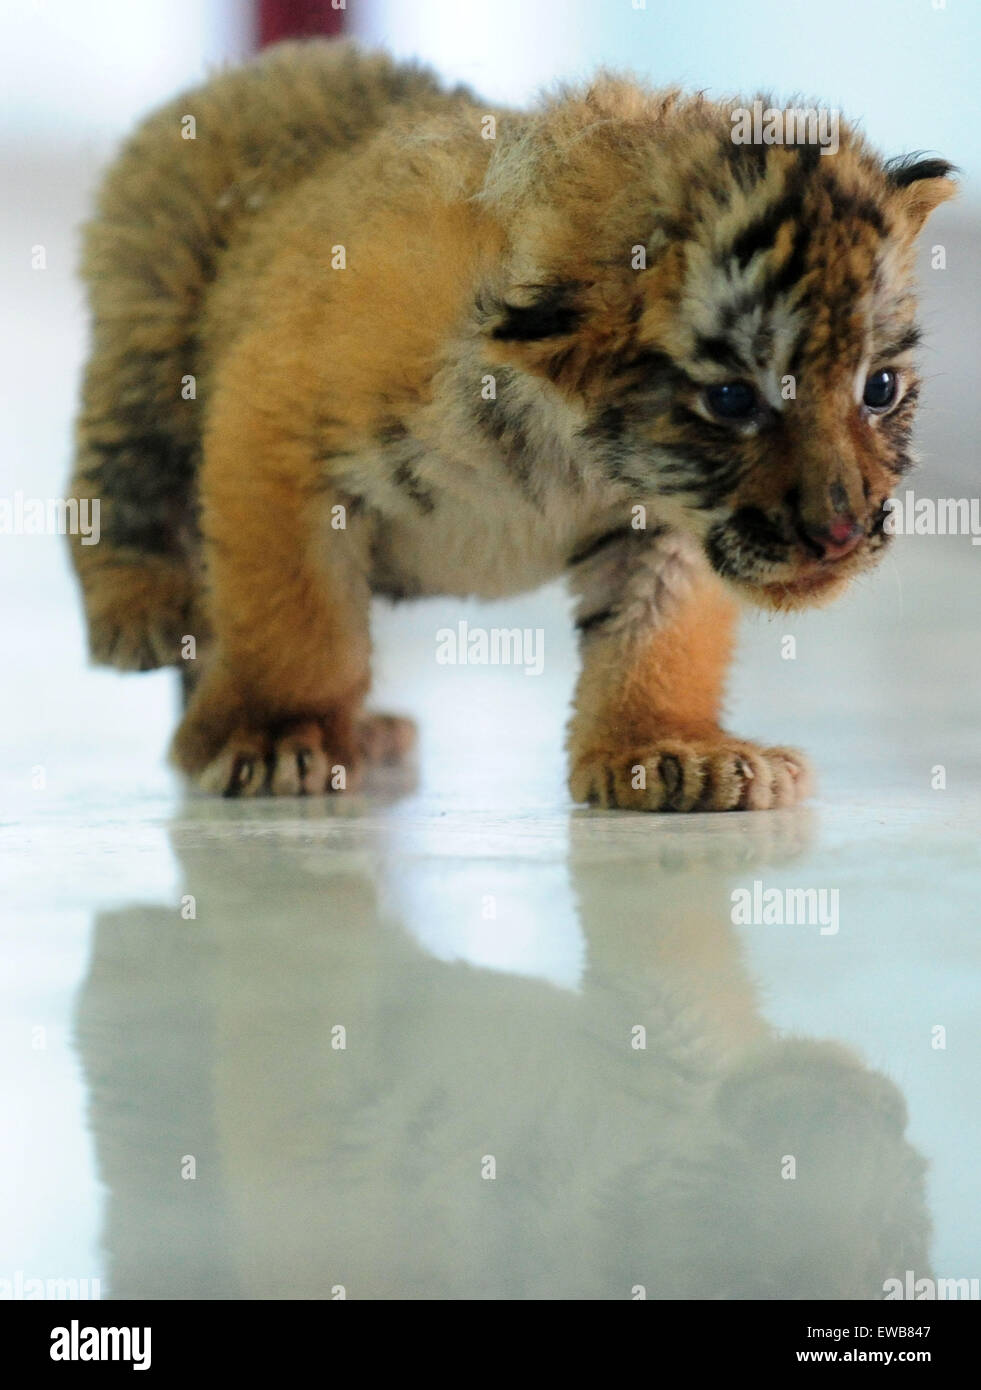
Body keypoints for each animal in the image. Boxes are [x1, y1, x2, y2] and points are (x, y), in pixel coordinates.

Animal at [68, 40, 954, 808]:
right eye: (733, 399)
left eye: (877, 389)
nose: (840, 535)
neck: (571, 445)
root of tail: (265, 65)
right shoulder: (279, 427)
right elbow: (296, 617)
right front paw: (276, 737)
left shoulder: (673, 524)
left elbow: (655, 634)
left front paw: (667, 753)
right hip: (149, 335)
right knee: (115, 472)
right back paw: (144, 615)